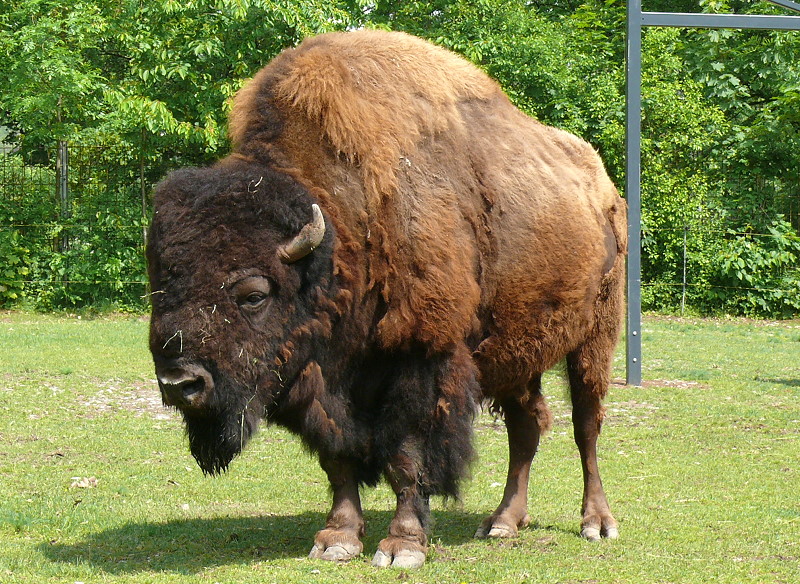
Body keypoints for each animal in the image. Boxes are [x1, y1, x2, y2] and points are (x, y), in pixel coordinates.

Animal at [147, 30, 627, 568]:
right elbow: (338, 461)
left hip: (595, 337)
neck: (340, 232)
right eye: (159, 285)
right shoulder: (326, 379)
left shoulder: (422, 355)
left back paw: (596, 522)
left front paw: (402, 546)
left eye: (253, 295)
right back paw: (503, 522)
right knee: (526, 426)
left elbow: (407, 455)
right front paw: (336, 539)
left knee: (586, 425)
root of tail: (605, 190)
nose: (179, 384)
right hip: (517, 351)